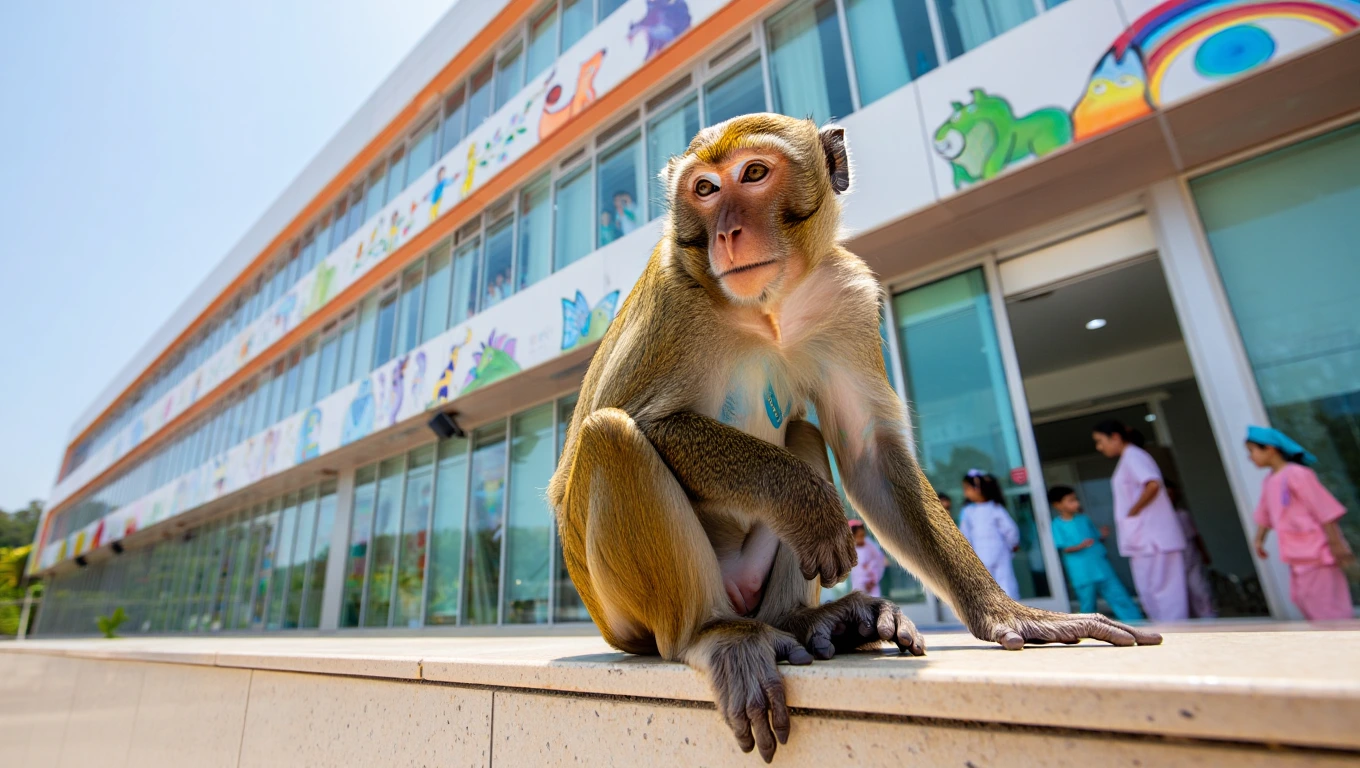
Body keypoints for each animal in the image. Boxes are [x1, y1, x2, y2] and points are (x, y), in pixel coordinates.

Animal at [547, 113, 1161, 762]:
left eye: (754, 173)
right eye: (706, 190)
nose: (728, 233)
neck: (768, 307)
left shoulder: (846, 298)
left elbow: (870, 458)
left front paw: (1010, 615)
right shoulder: (671, 300)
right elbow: (630, 429)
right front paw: (808, 504)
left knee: (802, 432)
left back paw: (806, 620)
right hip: (625, 615)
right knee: (610, 436)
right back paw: (714, 634)